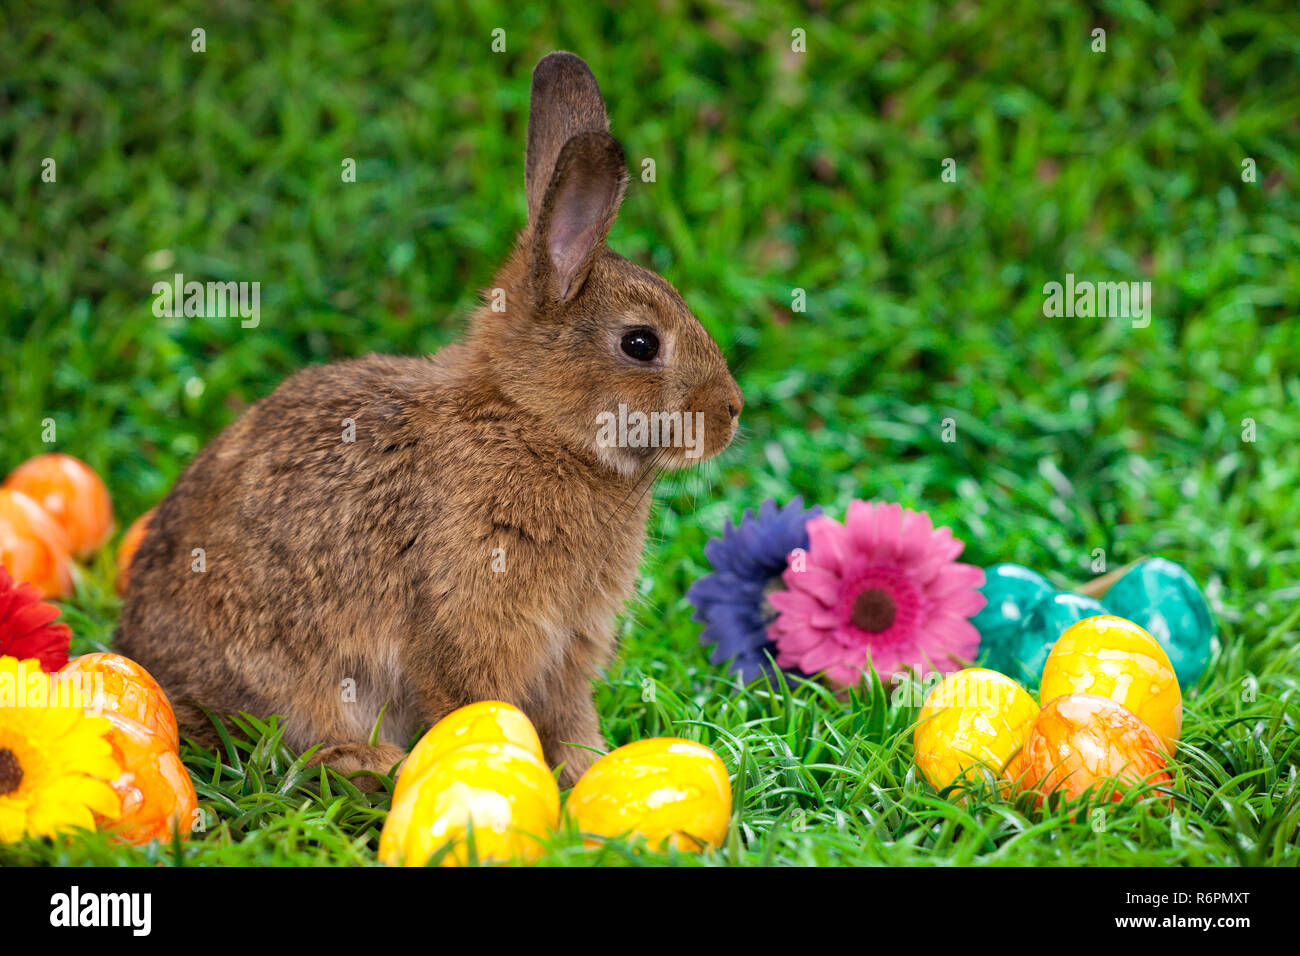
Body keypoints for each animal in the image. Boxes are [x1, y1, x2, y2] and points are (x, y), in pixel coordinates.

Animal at [115, 51, 743, 788]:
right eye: (641, 344)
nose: (731, 413)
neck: (530, 421)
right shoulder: (468, 615)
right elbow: (478, 703)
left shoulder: (567, 648)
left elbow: (571, 720)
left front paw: (587, 774)